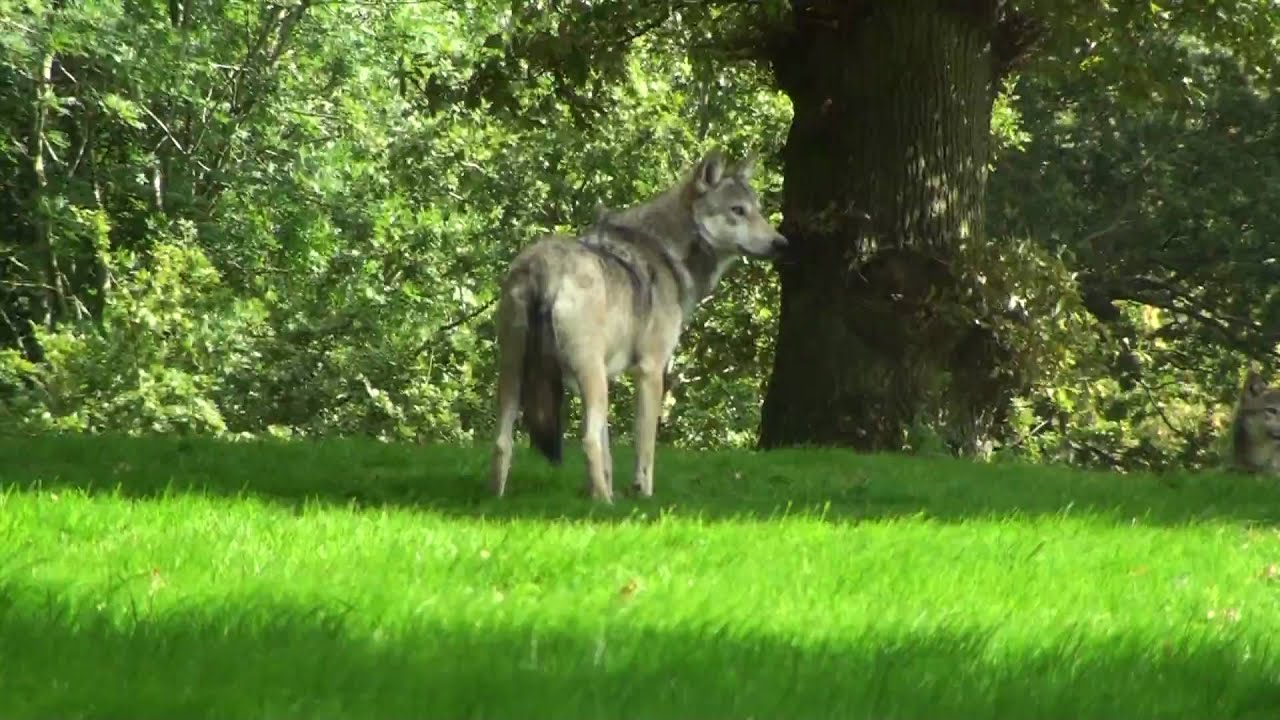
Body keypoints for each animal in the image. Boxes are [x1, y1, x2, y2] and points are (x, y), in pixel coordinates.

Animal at [488, 149, 787, 503]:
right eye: (737, 211)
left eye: (758, 211)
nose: (781, 243)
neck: (667, 251)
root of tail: (543, 267)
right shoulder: (651, 371)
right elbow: (643, 451)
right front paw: (641, 496)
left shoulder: (608, 377)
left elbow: (608, 457)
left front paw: (604, 491)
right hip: (588, 377)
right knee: (588, 440)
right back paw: (605, 507)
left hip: (515, 372)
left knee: (502, 442)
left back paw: (498, 500)